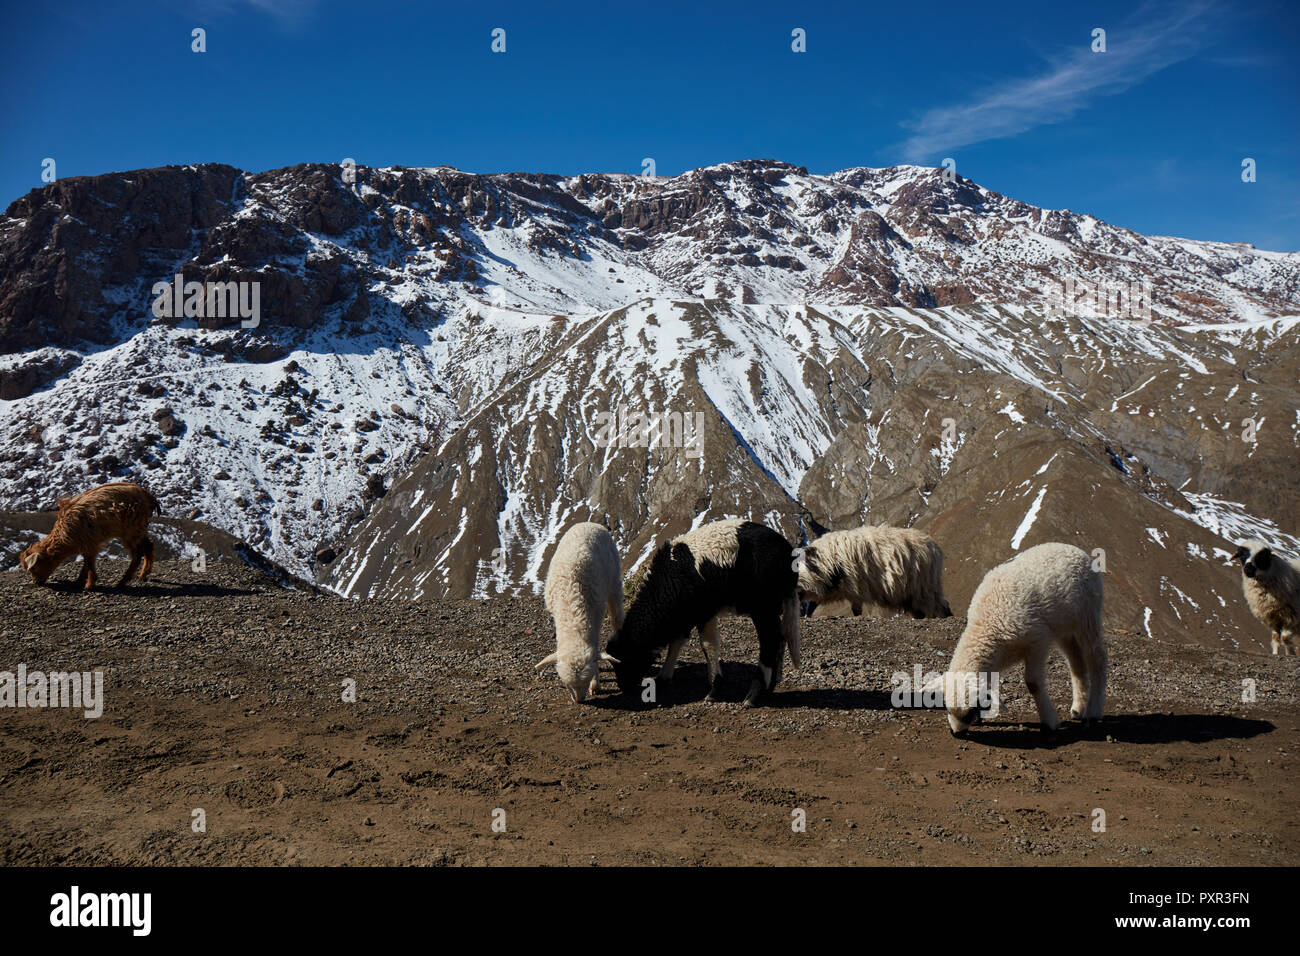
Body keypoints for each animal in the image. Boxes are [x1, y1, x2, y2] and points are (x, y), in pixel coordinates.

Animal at [20, 482, 162, 590]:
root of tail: (150, 497)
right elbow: (86, 563)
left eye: (33, 568)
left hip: (131, 531)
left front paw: (89, 585)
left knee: (137, 555)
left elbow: (89, 562)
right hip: (139, 530)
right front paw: (78, 581)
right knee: (149, 546)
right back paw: (143, 576)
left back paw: (122, 582)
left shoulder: (90, 542)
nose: (37, 582)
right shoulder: (87, 544)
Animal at [534, 523, 624, 702]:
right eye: (567, 684)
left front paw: (595, 684)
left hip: (614, 581)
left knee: (617, 616)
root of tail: (590, 523)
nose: (579, 701)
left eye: (586, 680)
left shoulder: (596, 613)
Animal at [606, 519, 801, 707]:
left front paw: (714, 688)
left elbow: (707, 645)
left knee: (770, 642)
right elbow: (677, 641)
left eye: (625, 661)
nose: (624, 688)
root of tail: (787, 549)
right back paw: (770, 687)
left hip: (763, 607)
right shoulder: (687, 614)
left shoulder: (704, 611)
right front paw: (663, 678)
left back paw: (754, 695)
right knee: (781, 638)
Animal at [797, 525, 953, 619]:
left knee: (939, 606)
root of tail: (934, 547)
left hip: (924, 587)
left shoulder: (855, 586)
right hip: (912, 593)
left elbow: (856, 609)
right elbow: (813, 605)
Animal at [928, 542, 1106, 734]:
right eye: (947, 709)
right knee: (1076, 663)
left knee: (1097, 659)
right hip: (1065, 628)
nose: (956, 733)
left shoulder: (1038, 641)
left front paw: (1050, 721)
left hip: (1088, 615)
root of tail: (1073, 548)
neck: (988, 625)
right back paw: (1078, 708)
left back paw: (1094, 711)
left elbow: (1033, 683)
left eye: (970, 711)